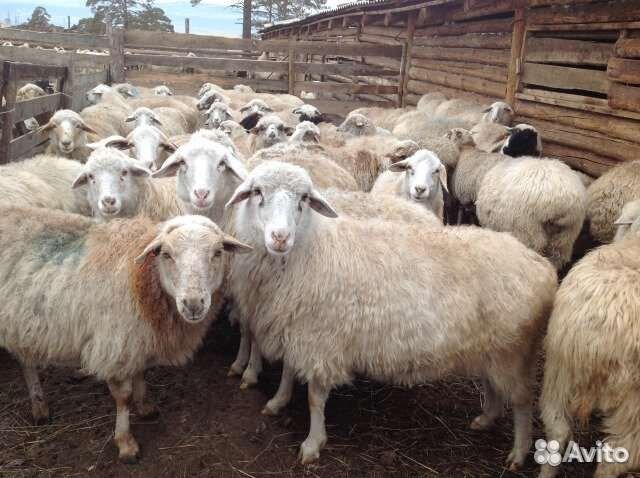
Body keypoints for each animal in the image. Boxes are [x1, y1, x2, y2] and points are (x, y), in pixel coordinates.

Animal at [0, 207, 251, 463]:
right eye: (166, 254)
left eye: (218, 252)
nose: (193, 304)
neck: (140, 279)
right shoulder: (114, 345)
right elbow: (123, 396)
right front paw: (125, 442)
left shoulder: (136, 338)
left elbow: (141, 372)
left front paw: (145, 407)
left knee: (25, 360)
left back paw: (39, 405)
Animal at [226, 160, 557, 467]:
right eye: (257, 192)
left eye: (305, 199)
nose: (280, 237)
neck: (311, 249)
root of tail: (541, 264)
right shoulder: (295, 327)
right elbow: (288, 371)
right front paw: (277, 401)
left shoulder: (322, 339)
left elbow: (314, 399)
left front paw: (312, 444)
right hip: (493, 347)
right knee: (493, 386)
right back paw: (486, 418)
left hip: (514, 351)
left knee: (522, 401)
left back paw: (518, 452)